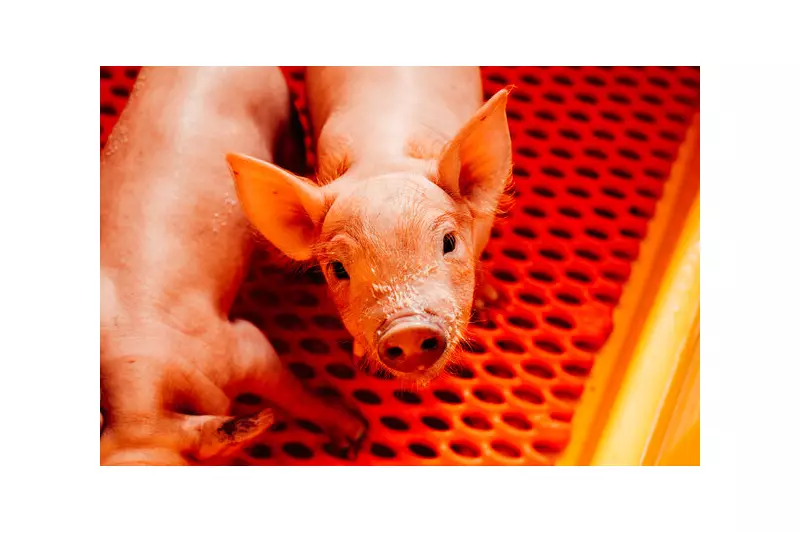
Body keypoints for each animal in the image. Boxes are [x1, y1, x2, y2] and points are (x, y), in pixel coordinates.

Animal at [227, 67, 513, 385]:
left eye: (449, 242)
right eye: (338, 268)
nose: (408, 330)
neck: (382, 161)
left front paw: (490, 302)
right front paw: (364, 365)